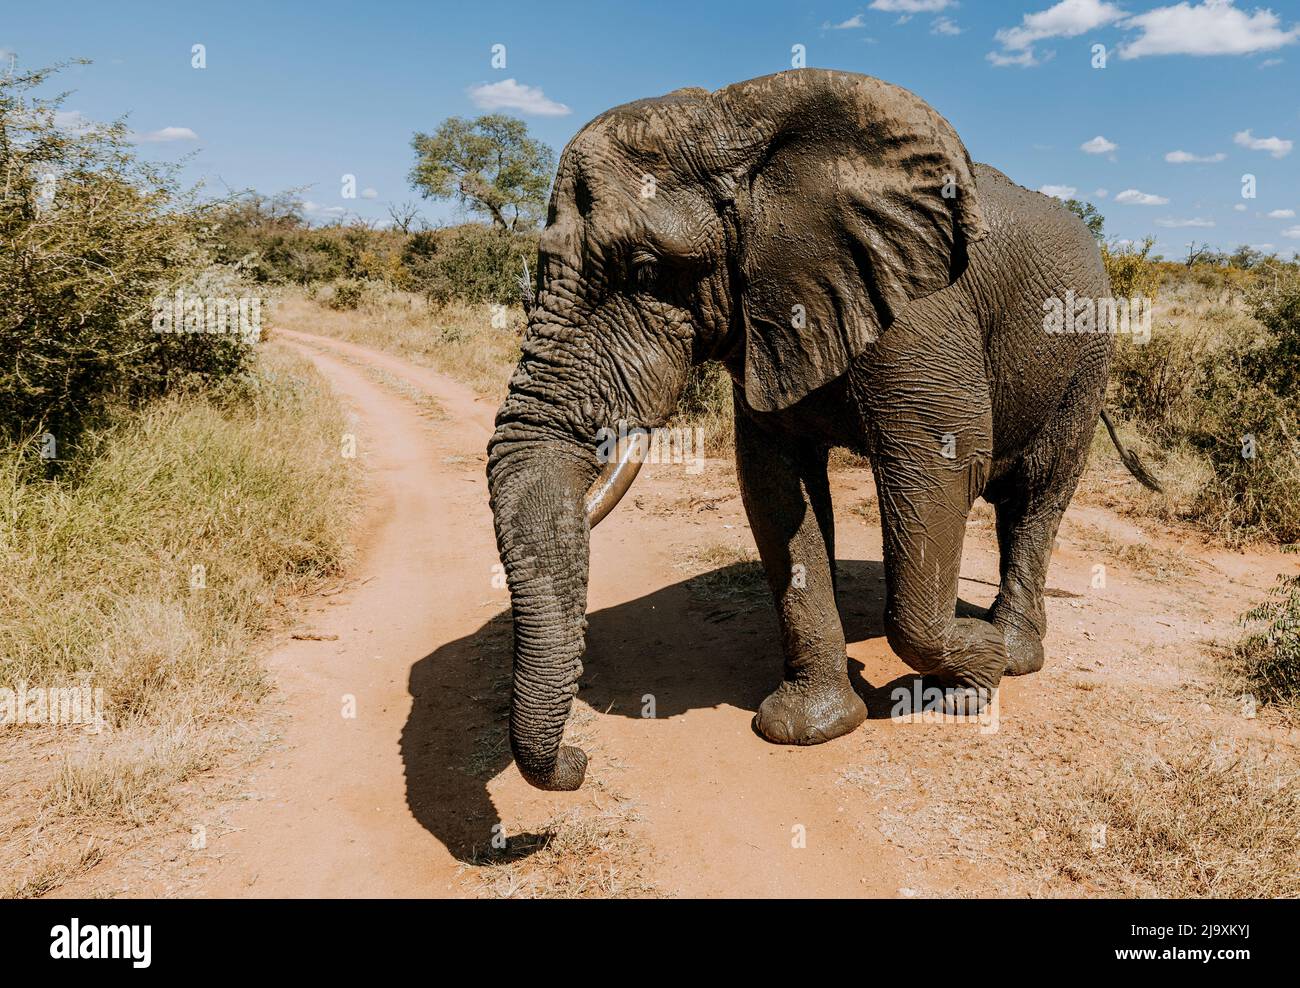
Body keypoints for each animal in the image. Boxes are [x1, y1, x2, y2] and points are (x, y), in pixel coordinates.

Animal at [486, 68, 1159, 791]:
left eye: (643, 270)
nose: (578, 762)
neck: (734, 127)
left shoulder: (923, 312)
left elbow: (940, 467)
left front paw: (975, 678)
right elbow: (777, 486)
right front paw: (809, 728)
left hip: (1087, 356)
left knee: (1036, 495)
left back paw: (1015, 650)